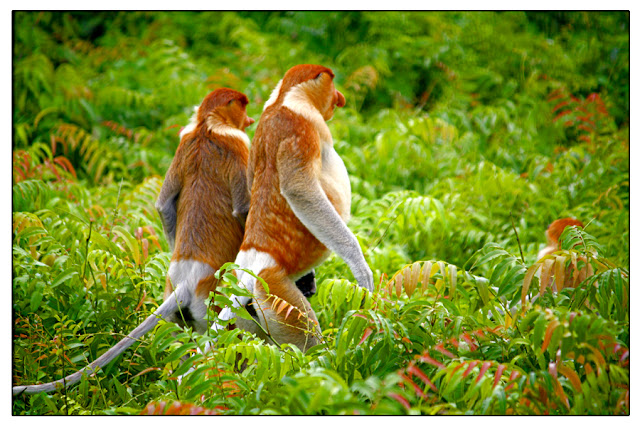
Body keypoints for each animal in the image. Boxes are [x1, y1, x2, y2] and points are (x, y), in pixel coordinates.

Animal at [213, 64, 374, 352]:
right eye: (332, 84)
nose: (340, 98)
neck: (284, 99)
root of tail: (250, 269)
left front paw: (309, 280)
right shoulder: (299, 128)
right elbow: (299, 189)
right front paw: (361, 269)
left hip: (250, 314)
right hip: (277, 294)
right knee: (307, 344)